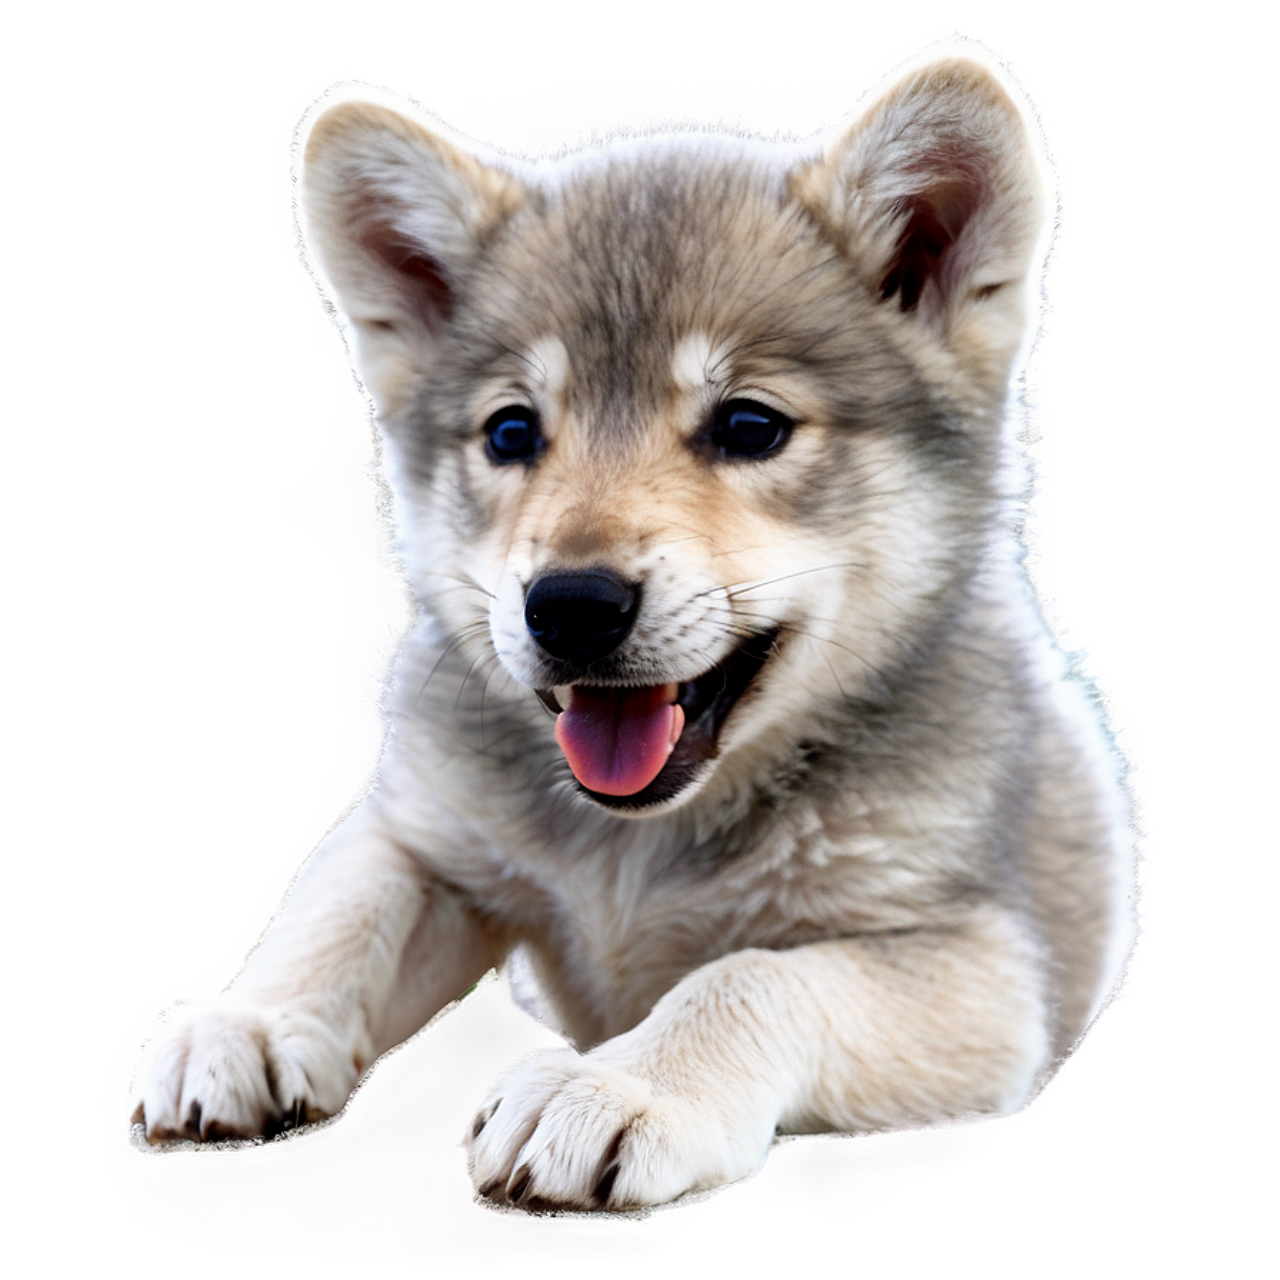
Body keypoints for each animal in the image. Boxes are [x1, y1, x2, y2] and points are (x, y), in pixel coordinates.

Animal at [129, 42, 1138, 1215]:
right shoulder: (436, 837)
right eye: (510, 433)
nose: (571, 605)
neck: (636, 852)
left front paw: (619, 1085)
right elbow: (345, 902)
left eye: (748, 425)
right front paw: (248, 1020)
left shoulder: (981, 967)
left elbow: (749, 977)